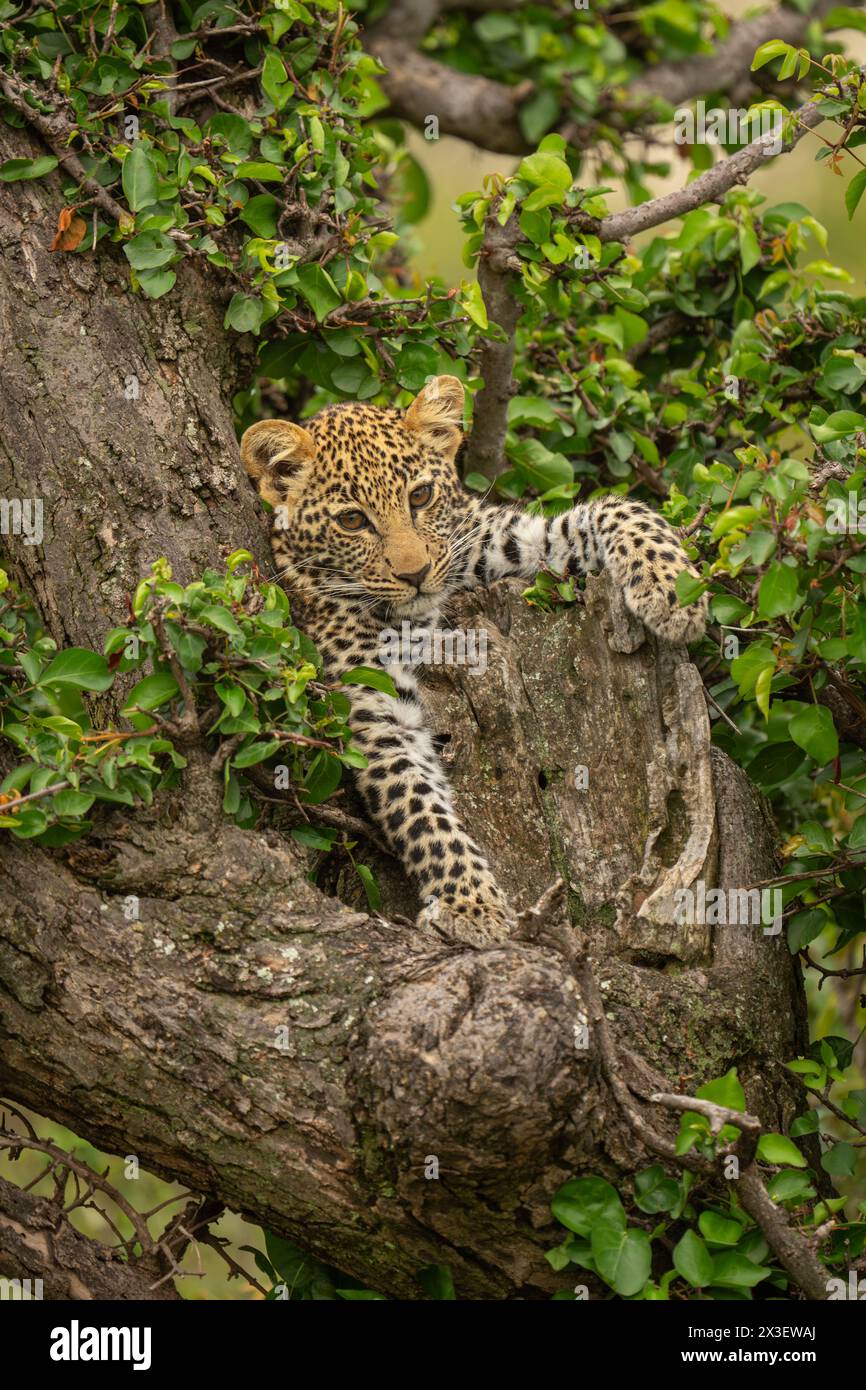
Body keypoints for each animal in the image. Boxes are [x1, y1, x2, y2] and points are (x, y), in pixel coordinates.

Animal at [241, 374, 708, 947]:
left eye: (420, 496)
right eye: (352, 520)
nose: (415, 574)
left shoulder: (495, 538)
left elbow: (604, 511)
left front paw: (673, 589)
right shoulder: (375, 709)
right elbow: (419, 806)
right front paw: (472, 905)